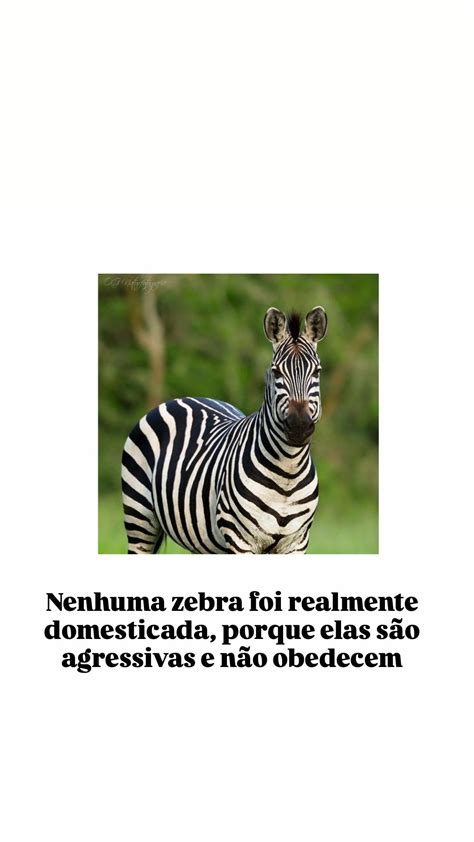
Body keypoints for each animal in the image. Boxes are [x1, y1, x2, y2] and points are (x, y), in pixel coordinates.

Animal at [121, 306, 328, 554]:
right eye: (276, 372)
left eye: (317, 372)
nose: (299, 426)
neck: (288, 472)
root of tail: (182, 398)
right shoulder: (240, 540)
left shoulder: (297, 543)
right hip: (139, 520)